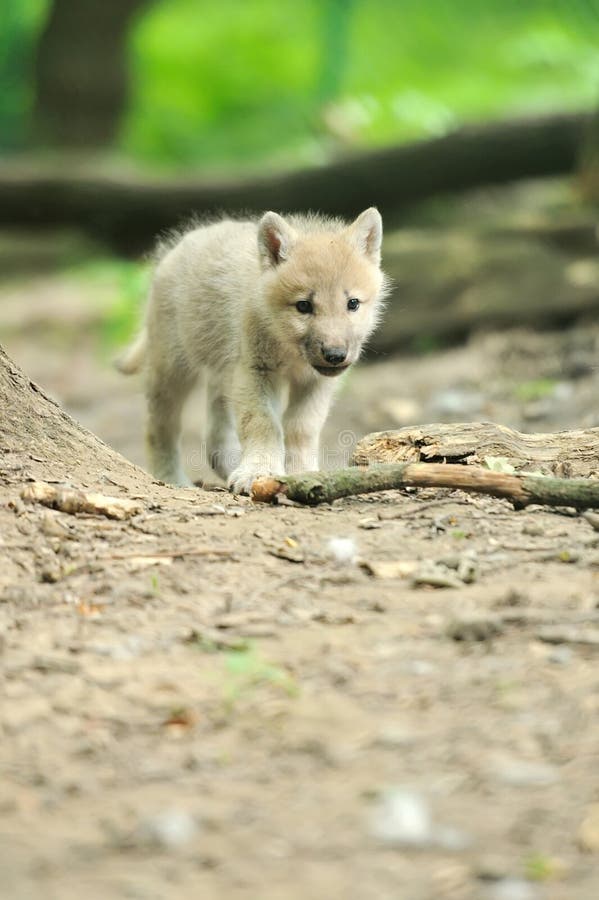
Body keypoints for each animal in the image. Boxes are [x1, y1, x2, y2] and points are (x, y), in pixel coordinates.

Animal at [117, 207, 388, 494]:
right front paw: (259, 472)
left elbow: (301, 427)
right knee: (159, 427)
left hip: (222, 372)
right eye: (303, 306)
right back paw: (172, 479)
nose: (335, 355)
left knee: (214, 435)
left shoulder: (314, 383)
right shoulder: (255, 371)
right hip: (172, 367)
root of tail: (177, 247)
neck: (290, 353)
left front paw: (301, 472)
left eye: (353, 303)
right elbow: (262, 423)